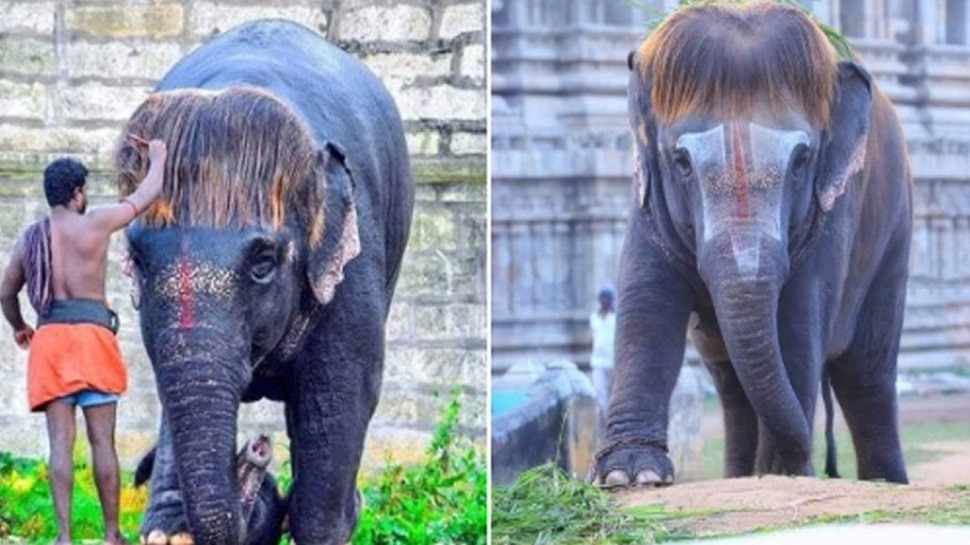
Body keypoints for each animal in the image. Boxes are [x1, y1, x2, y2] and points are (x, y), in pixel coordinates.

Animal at [113, 19, 414, 544]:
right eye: (137, 259)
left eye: (264, 263)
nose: (257, 449)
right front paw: (168, 528)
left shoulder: (353, 267)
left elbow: (336, 402)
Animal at [589, 3, 912, 487]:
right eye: (681, 162)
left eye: (801, 161)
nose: (812, 464)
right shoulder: (646, 199)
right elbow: (647, 299)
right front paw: (629, 476)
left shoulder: (832, 212)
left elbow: (796, 318)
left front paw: (783, 473)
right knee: (729, 381)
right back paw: (740, 475)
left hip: (895, 231)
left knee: (866, 374)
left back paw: (881, 483)